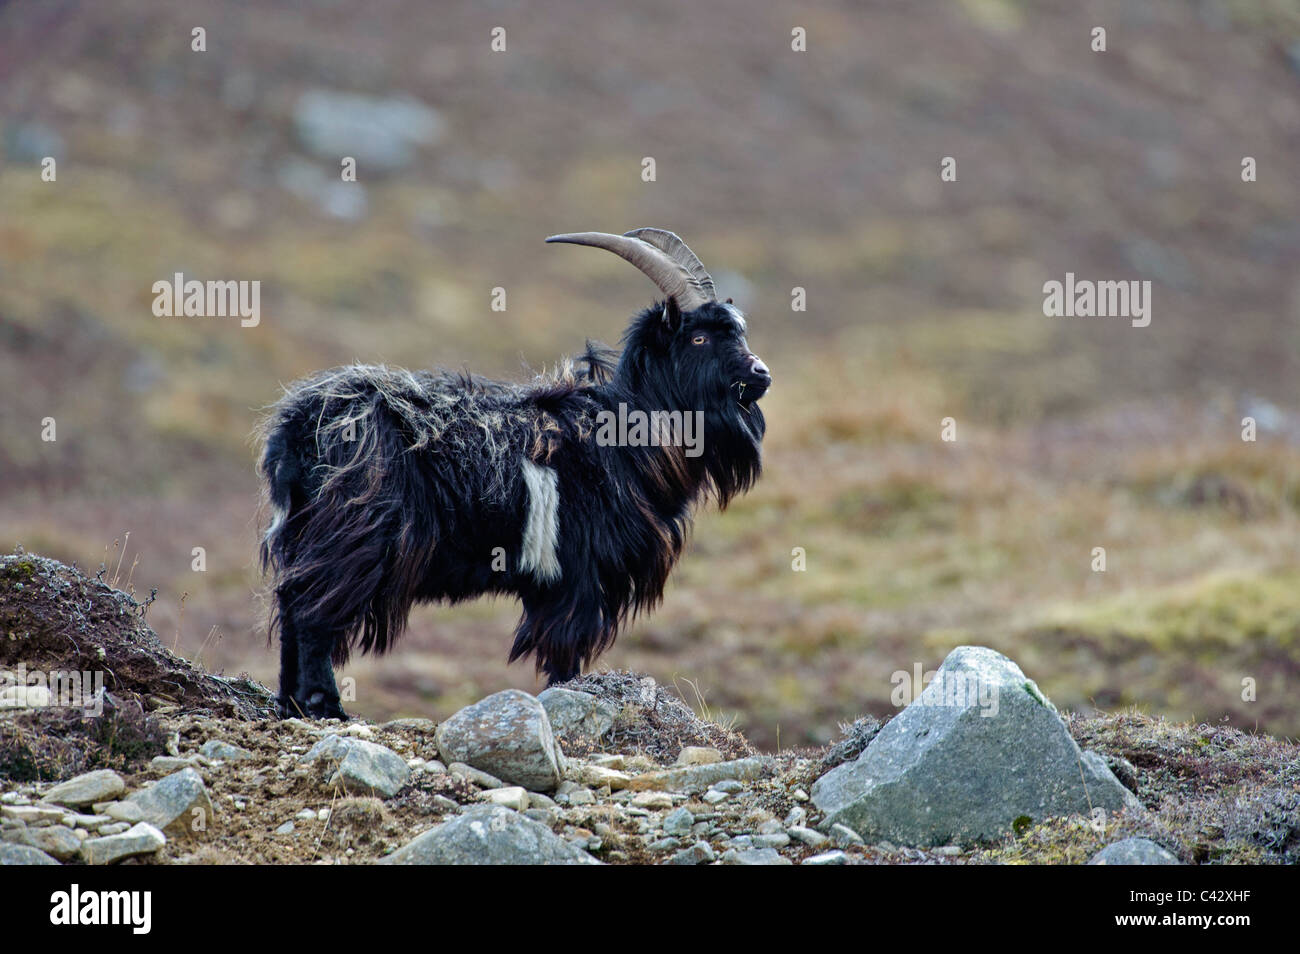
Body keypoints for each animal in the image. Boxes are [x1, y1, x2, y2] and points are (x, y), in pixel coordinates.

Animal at [258, 228, 771, 718]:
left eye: (738, 333)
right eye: (700, 338)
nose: (762, 373)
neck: (624, 431)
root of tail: (296, 426)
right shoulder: (575, 575)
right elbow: (566, 653)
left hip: (304, 532)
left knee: (290, 603)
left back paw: (290, 704)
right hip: (349, 539)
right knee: (313, 611)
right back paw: (326, 706)